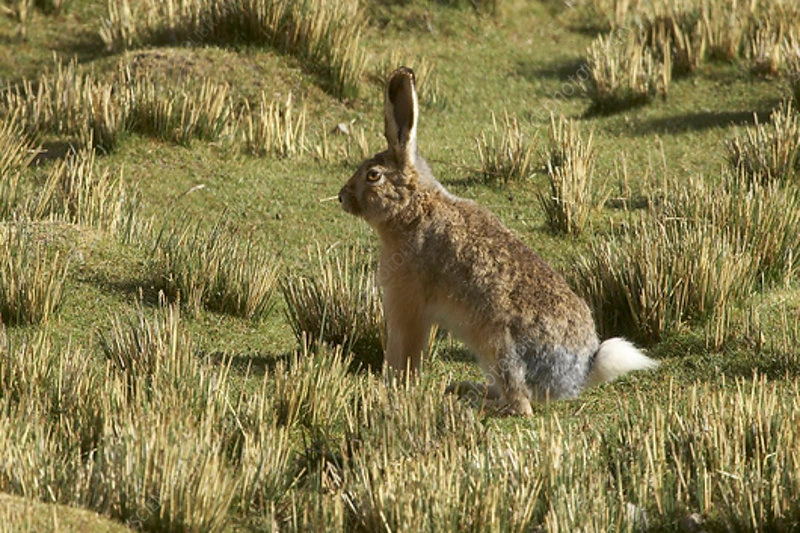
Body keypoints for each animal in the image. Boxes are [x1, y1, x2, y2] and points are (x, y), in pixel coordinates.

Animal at [338, 67, 659, 416]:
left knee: (520, 405)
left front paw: (394, 387)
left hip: (498, 342)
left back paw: (472, 403)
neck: (413, 209)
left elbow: (403, 352)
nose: (342, 197)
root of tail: (578, 374)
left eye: (373, 175)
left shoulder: (407, 303)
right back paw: (468, 389)